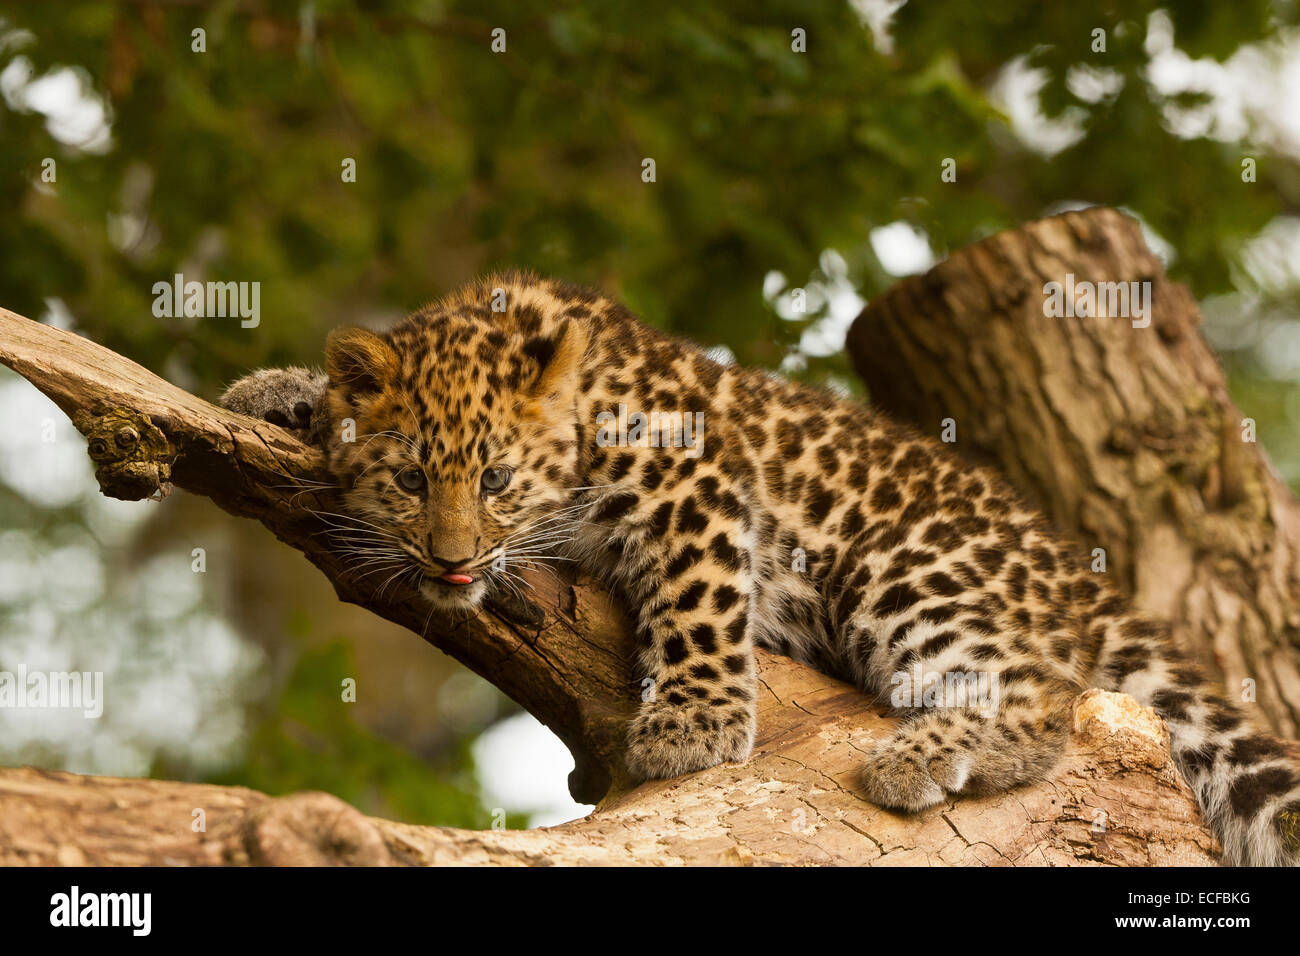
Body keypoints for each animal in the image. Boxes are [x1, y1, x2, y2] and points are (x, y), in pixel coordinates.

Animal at [222, 270, 1300, 866]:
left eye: (494, 478)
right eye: (411, 479)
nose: (451, 560)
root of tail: (1064, 561)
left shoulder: (693, 479)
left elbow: (698, 599)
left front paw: (692, 726)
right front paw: (278, 391)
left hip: (900, 563)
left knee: (1046, 694)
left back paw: (924, 754)